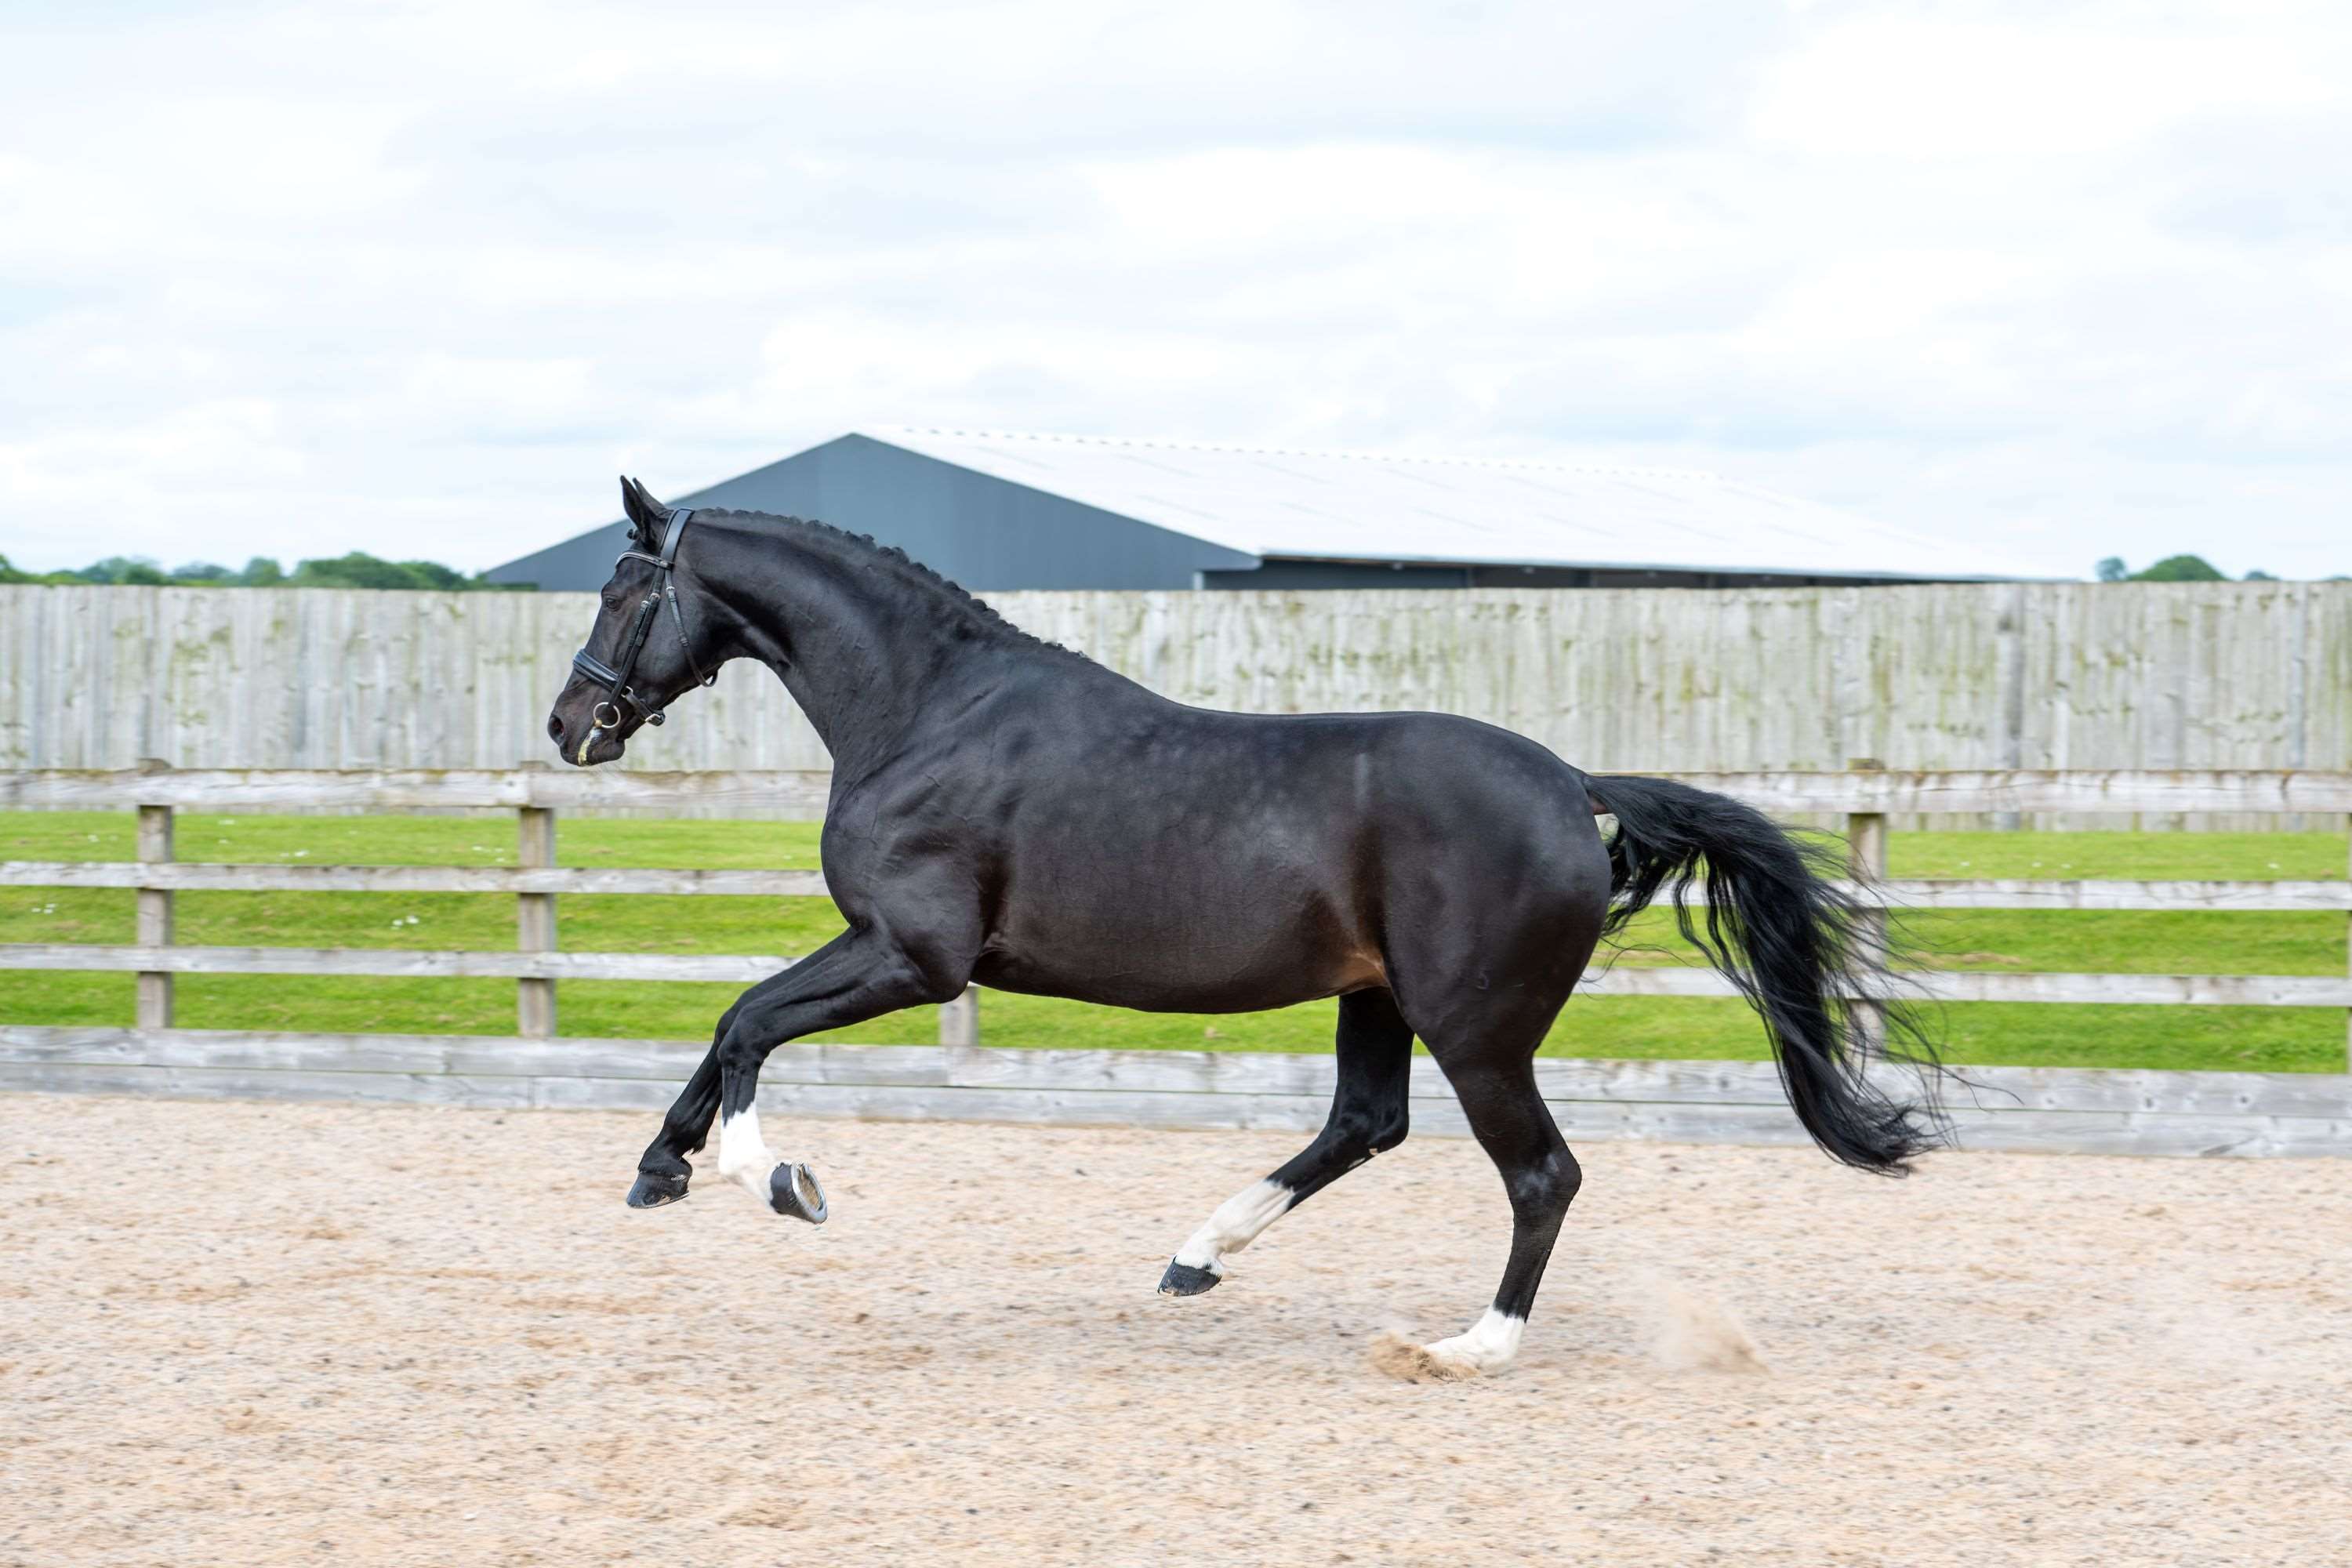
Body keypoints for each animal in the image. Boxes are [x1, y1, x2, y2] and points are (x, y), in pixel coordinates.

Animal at [544, 476, 1940, 1377]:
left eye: (620, 590)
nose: (571, 723)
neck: (929, 711)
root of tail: (1572, 785)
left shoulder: (912, 957)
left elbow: (746, 1023)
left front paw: (776, 1179)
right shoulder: (896, 958)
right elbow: (731, 1027)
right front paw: (662, 1168)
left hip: (1477, 1031)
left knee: (1541, 1174)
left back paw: (1468, 1347)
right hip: (1380, 1000)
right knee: (1365, 1125)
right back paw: (1196, 1258)